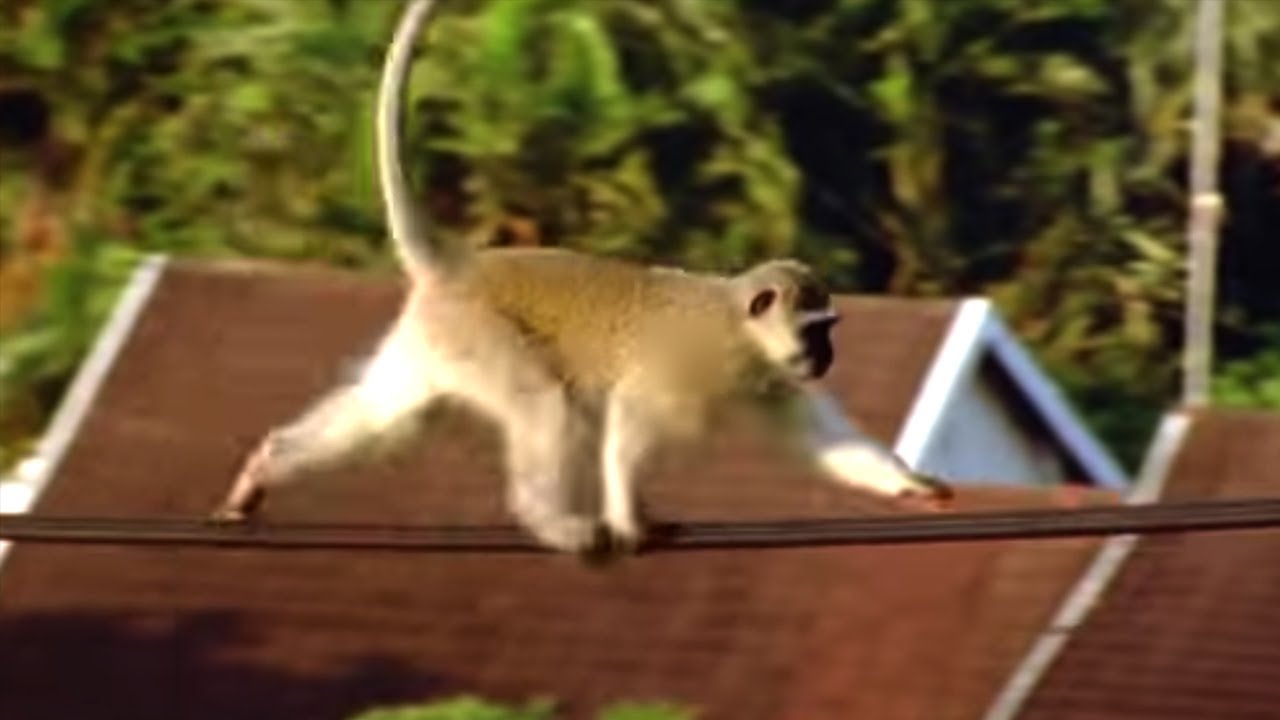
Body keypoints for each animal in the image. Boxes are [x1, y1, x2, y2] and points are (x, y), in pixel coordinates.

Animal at [210, 0, 953, 557]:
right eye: (817, 327)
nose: (826, 357)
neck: (742, 333)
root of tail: (462, 263)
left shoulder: (770, 378)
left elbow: (824, 444)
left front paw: (912, 485)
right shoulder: (695, 362)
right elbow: (631, 415)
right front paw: (626, 517)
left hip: (436, 340)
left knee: (386, 416)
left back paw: (266, 465)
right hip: (481, 335)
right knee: (544, 403)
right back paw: (553, 521)